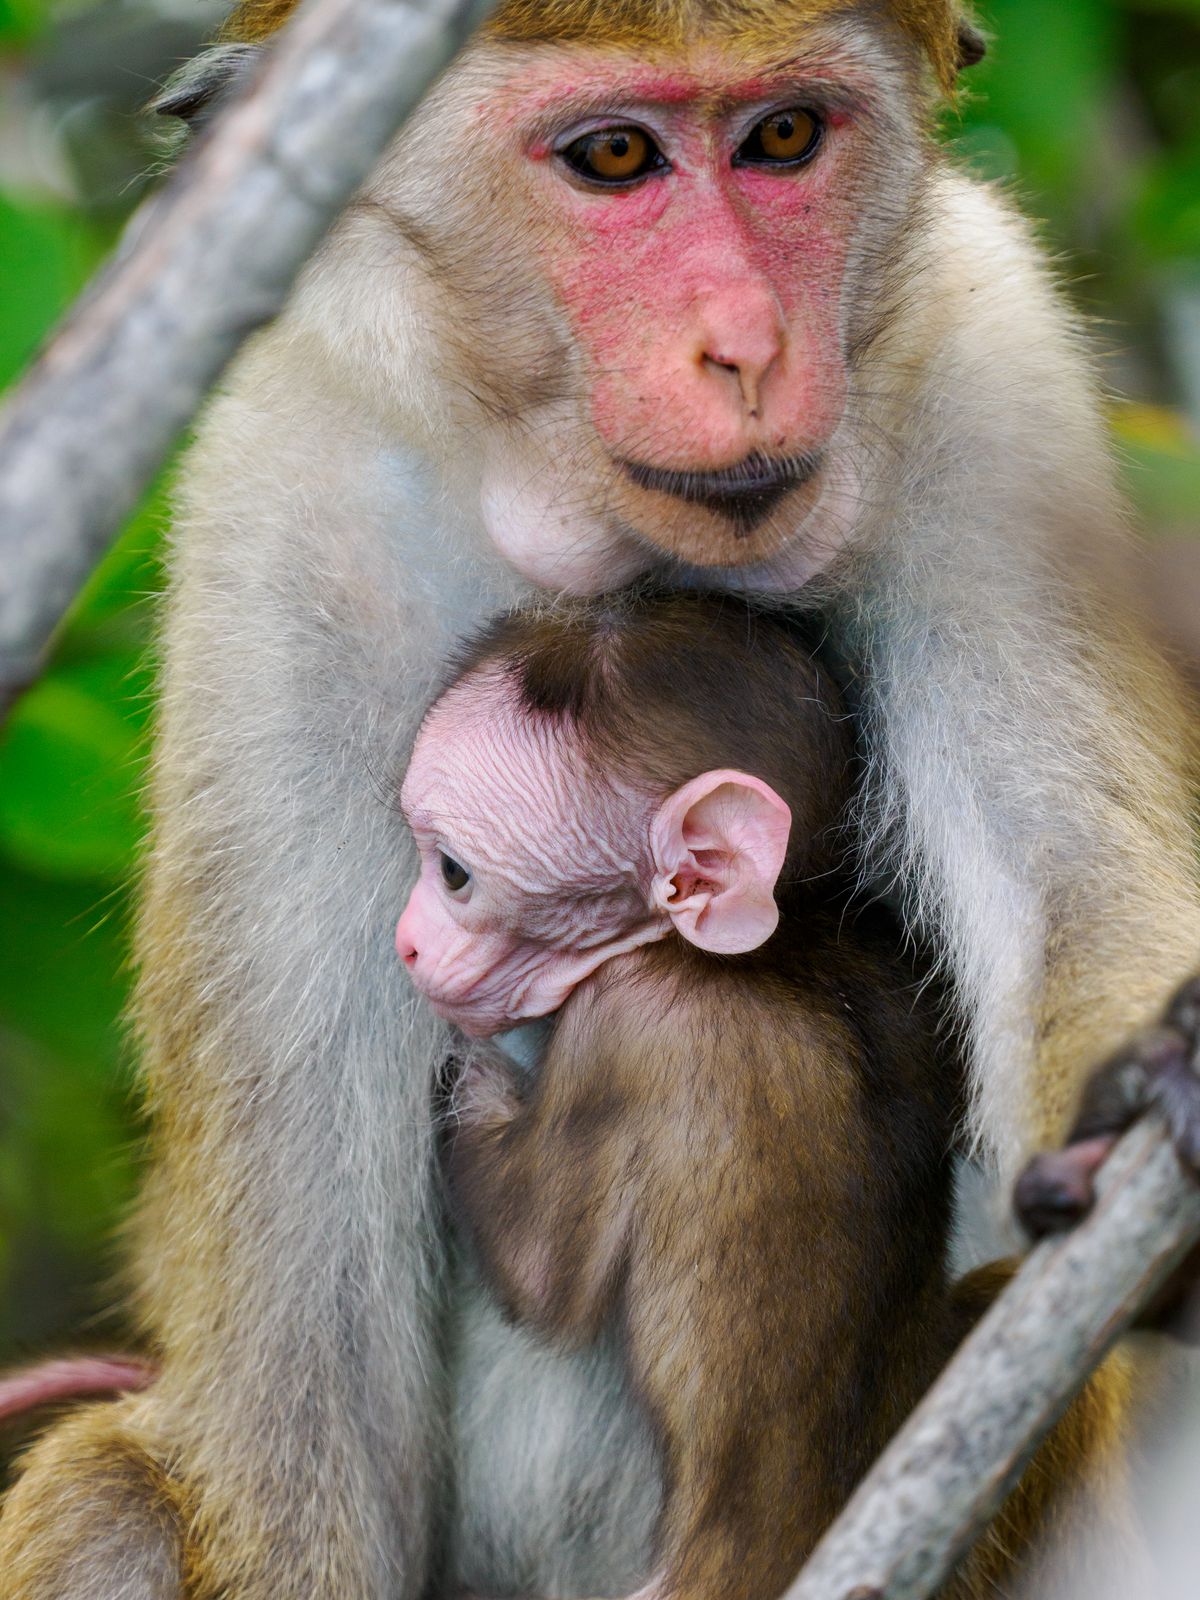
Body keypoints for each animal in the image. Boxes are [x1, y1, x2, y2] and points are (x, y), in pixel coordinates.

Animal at [1, 2, 1194, 1595]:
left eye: (783, 138)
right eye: (614, 158)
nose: (749, 345)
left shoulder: (990, 382)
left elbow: (1078, 910)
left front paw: (1154, 1087)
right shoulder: (282, 499)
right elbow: (305, 1396)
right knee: (109, 1494)